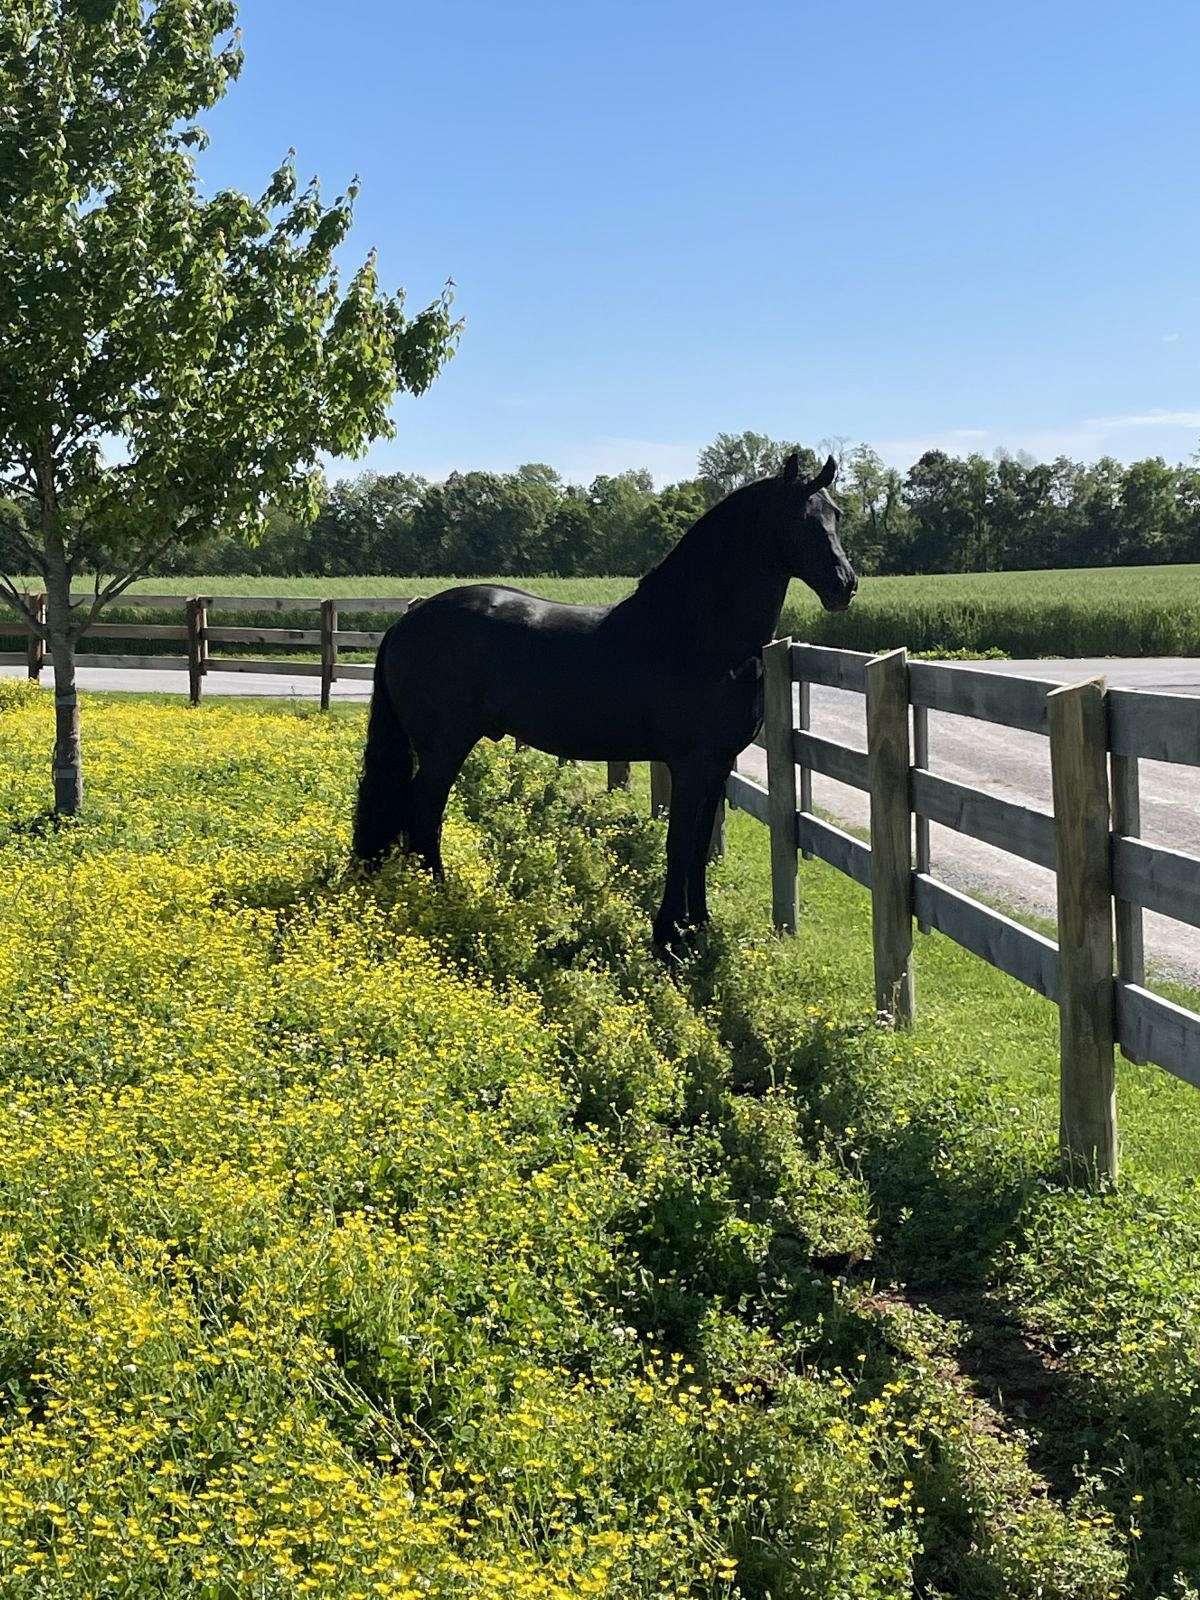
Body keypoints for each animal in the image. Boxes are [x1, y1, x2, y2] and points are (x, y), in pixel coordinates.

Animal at [353, 451, 857, 947]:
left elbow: (697, 846)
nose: (845, 585)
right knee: (424, 813)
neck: (695, 635)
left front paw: (699, 929)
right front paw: (668, 939)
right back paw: (439, 902)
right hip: (444, 747)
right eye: (800, 518)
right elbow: (677, 843)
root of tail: (410, 617)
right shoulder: (689, 764)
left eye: (835, 515)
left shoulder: (717, 765)